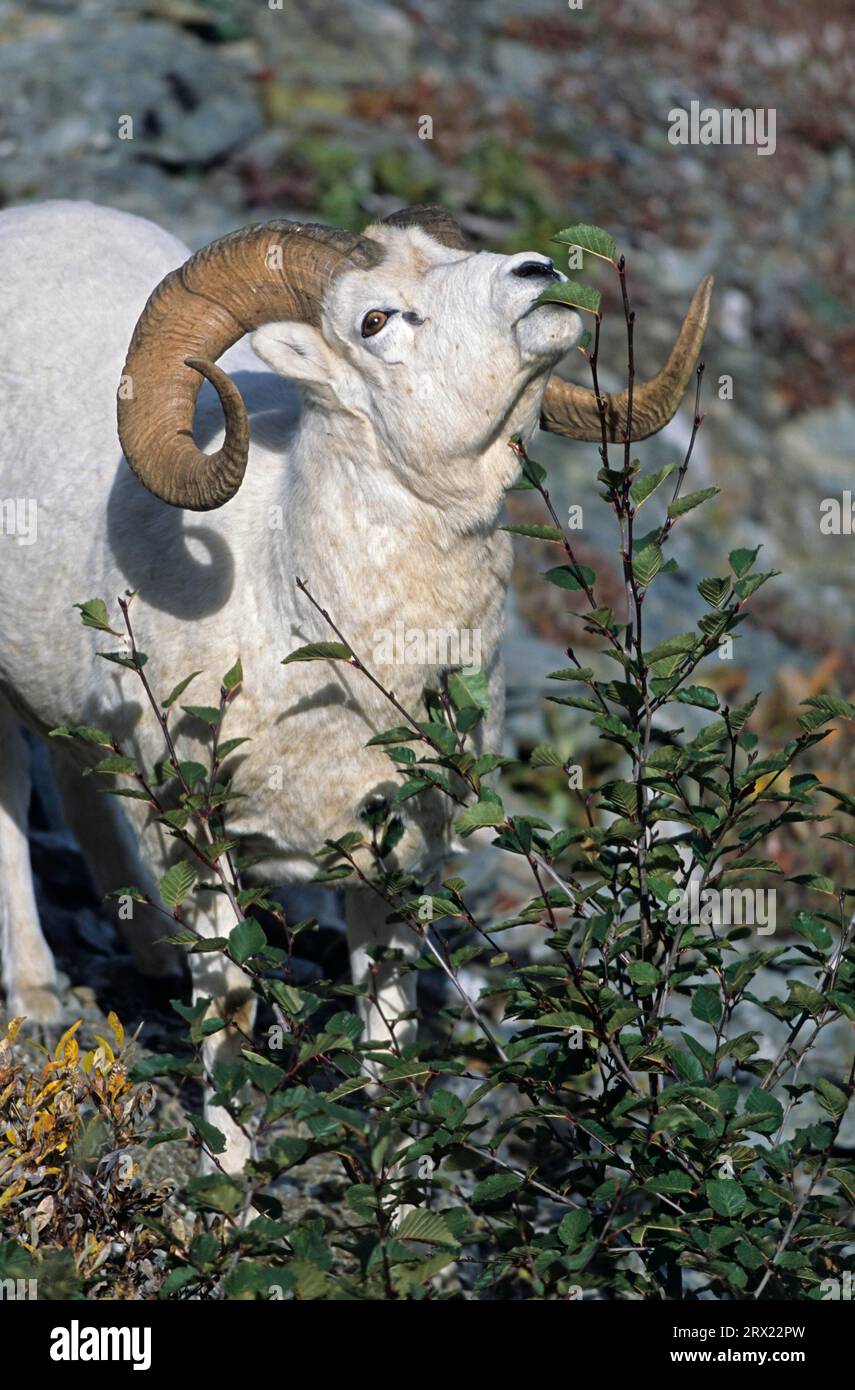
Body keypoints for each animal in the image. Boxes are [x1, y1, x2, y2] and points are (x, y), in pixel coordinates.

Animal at [0, 199, 711, 1168]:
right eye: (373, 320)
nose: (536, 275)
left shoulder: (394, 869)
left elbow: (389, 1041)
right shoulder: (203, 844)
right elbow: (231, 1012)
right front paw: (229, 1180)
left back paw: (149, 954)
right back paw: (37, 997)